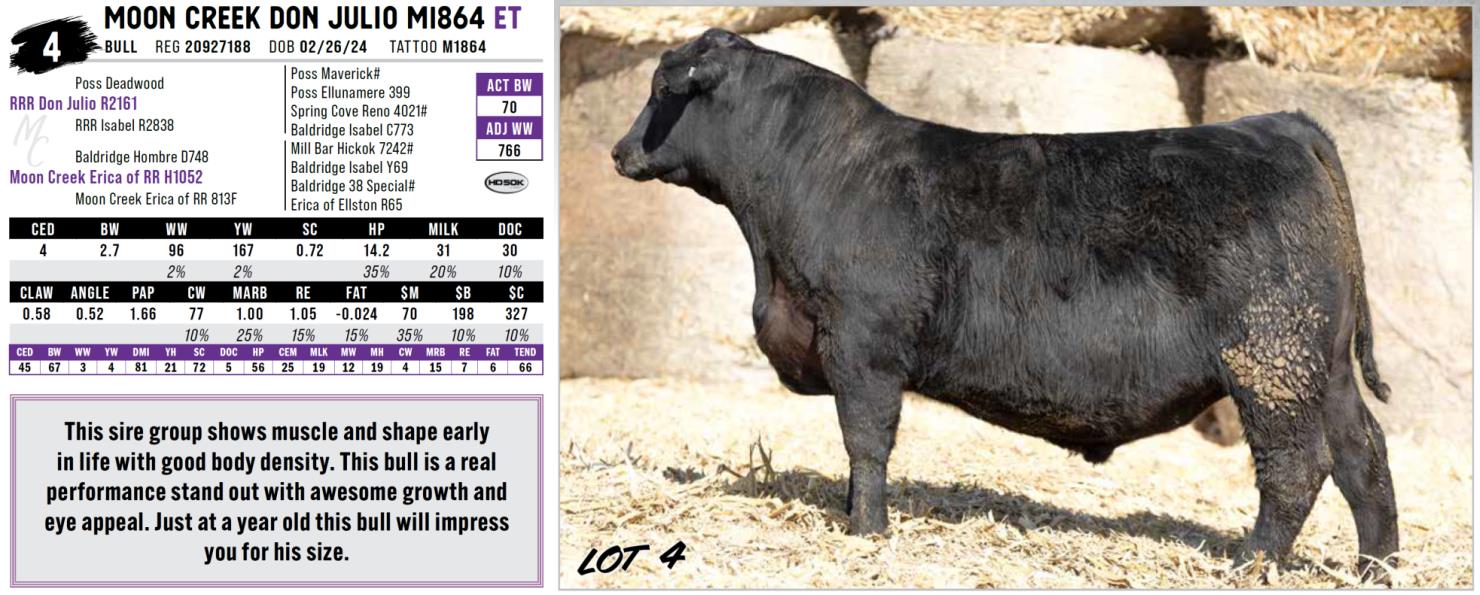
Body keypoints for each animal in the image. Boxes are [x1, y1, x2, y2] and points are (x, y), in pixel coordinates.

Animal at [611, 29, 1397, 580]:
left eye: (660, 86)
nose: (619, 151)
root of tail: (1277, 124)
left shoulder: (863, 347)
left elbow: (866, 442)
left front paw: (867, 531)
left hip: (1271, 361)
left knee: (1297, 467)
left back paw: (1249, 564)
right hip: (1321, 366)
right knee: (1364, 456)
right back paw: (1377, 569)